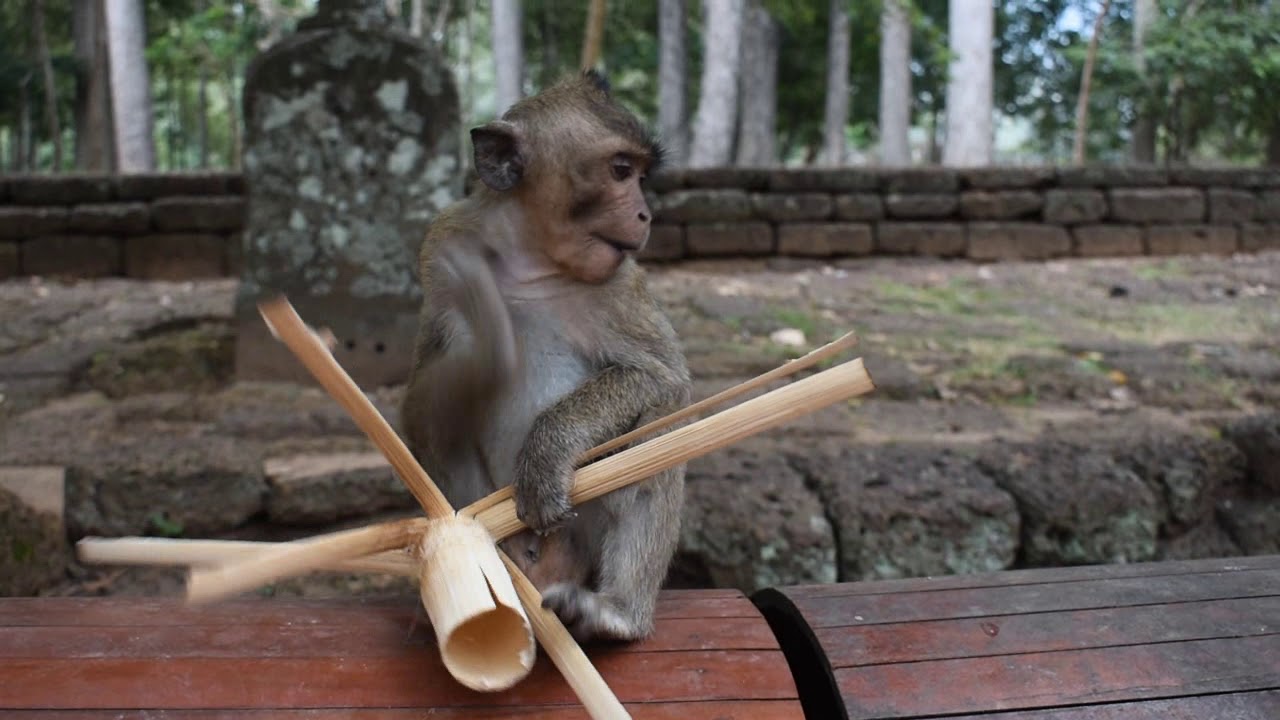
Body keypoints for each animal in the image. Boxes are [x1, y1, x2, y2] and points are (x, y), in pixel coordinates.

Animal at [400, 70, 691, 643]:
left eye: (640, 173)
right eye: (620, 170)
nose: (645, 213)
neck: (532, 258)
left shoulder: (621, 283)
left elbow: (662, 379)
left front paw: (546, 453)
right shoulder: (441, 251)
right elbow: (422, 413)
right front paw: (487, 347)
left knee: (660, 422)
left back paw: (616, 611)